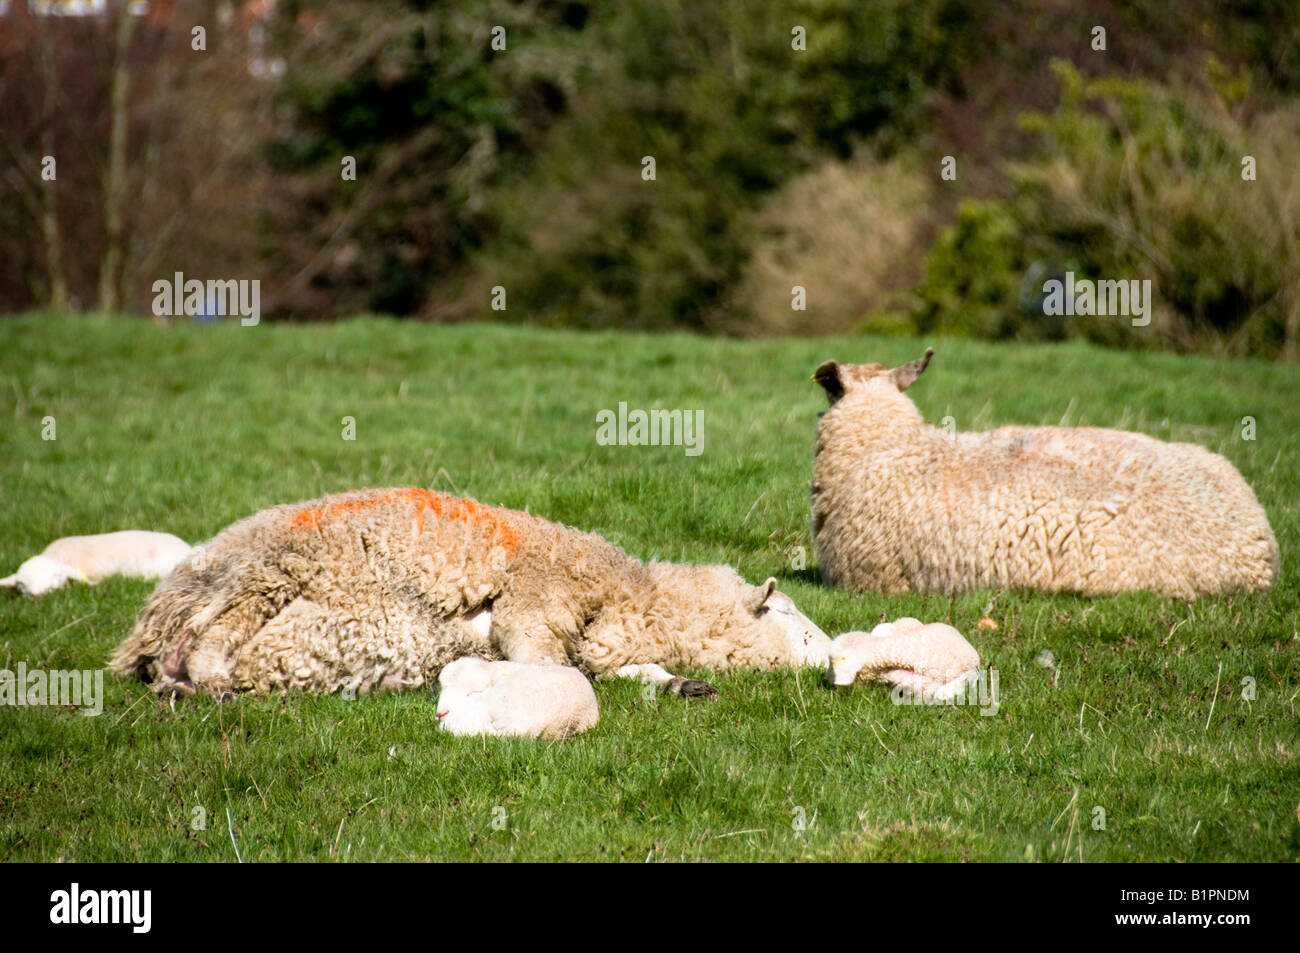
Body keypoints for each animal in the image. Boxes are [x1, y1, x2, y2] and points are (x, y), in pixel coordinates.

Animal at [109, 486, 821, 696]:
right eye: (788, 612)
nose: (827, 654)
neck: (629, 596)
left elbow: (617, 669)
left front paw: (679, 684)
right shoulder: (535, 607)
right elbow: (553, 663)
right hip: (263, 576)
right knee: (211, 639)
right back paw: (213, 684)